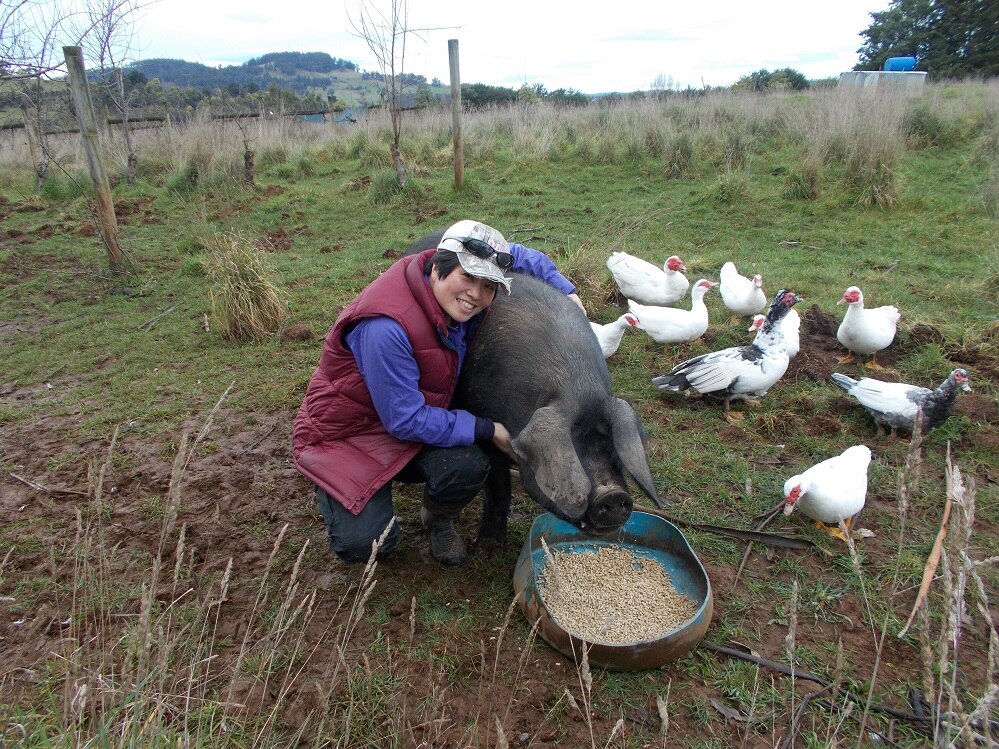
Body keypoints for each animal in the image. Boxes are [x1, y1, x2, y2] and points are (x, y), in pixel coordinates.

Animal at [404, 231, 664, 550]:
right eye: (574, 443)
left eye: (611, 447)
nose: (613, 495)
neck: (576, 387)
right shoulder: (487, 424)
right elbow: (499, 487)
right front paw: (488, 549)